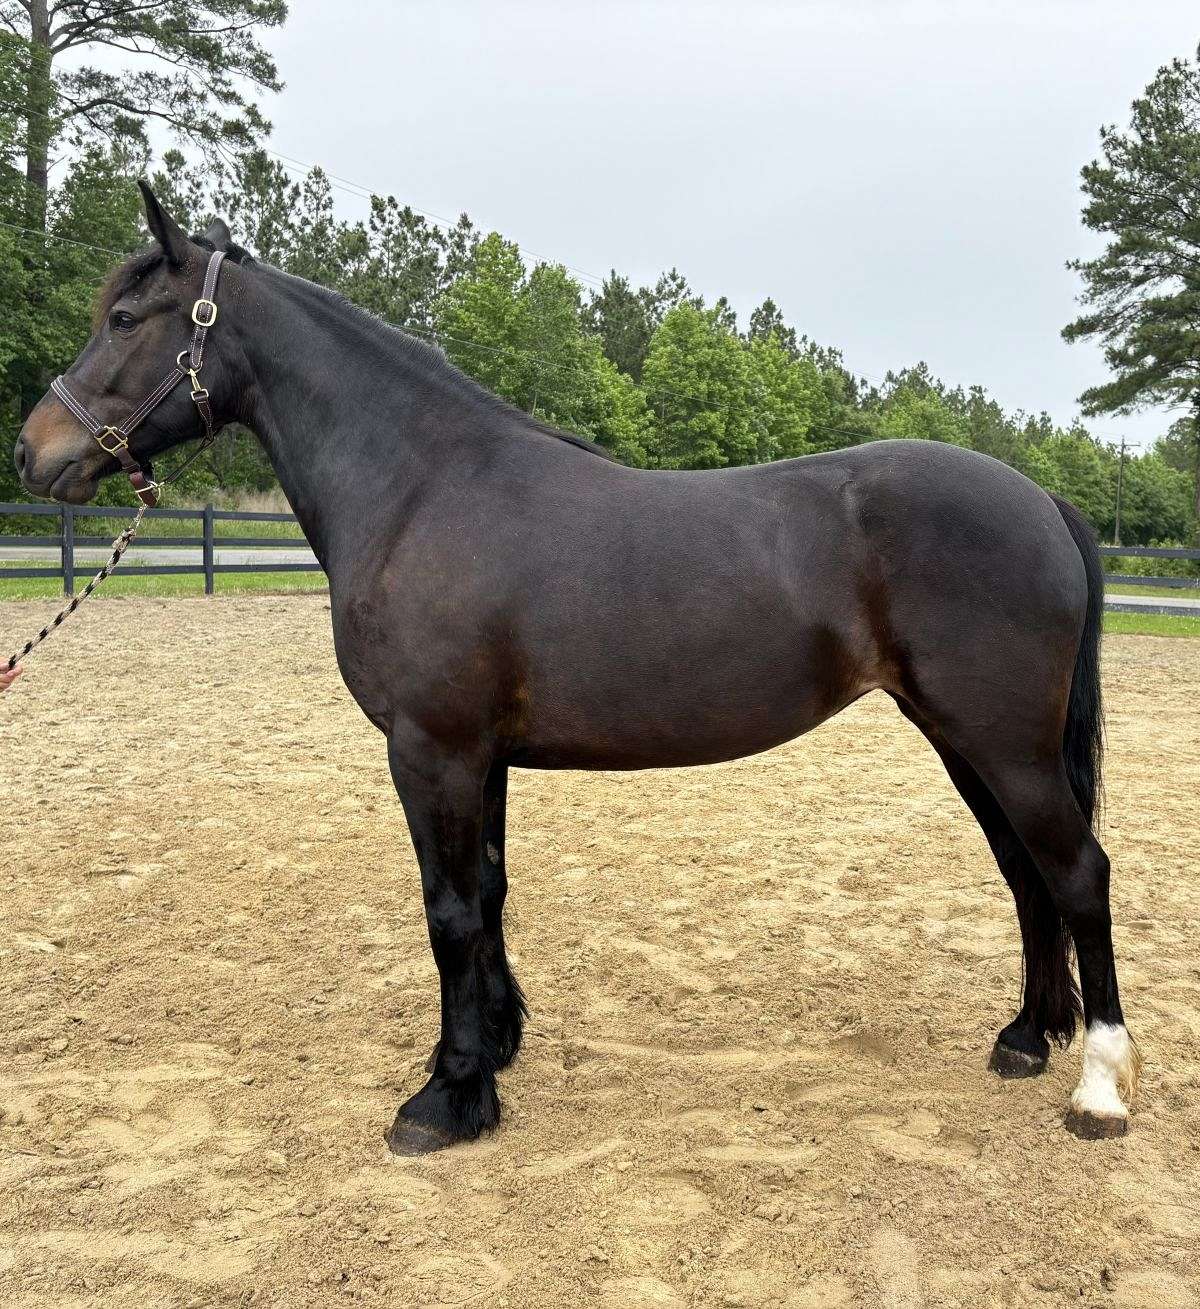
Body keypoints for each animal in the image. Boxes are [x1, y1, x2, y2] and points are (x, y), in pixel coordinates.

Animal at [15, 184, 1140, 1153]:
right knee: (1028, 874)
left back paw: (1098, 1088)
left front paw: (446, 1096)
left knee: (1078, 872)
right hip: (966, 740)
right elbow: (490, 893)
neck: (423, 486)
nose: (36, 451)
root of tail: (1041, 499)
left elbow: (448, 910)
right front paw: (495, 1047)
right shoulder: (482, 756)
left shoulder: (433, 750)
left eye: (126, 317)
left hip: (1002, 742)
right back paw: (1026, 1037)